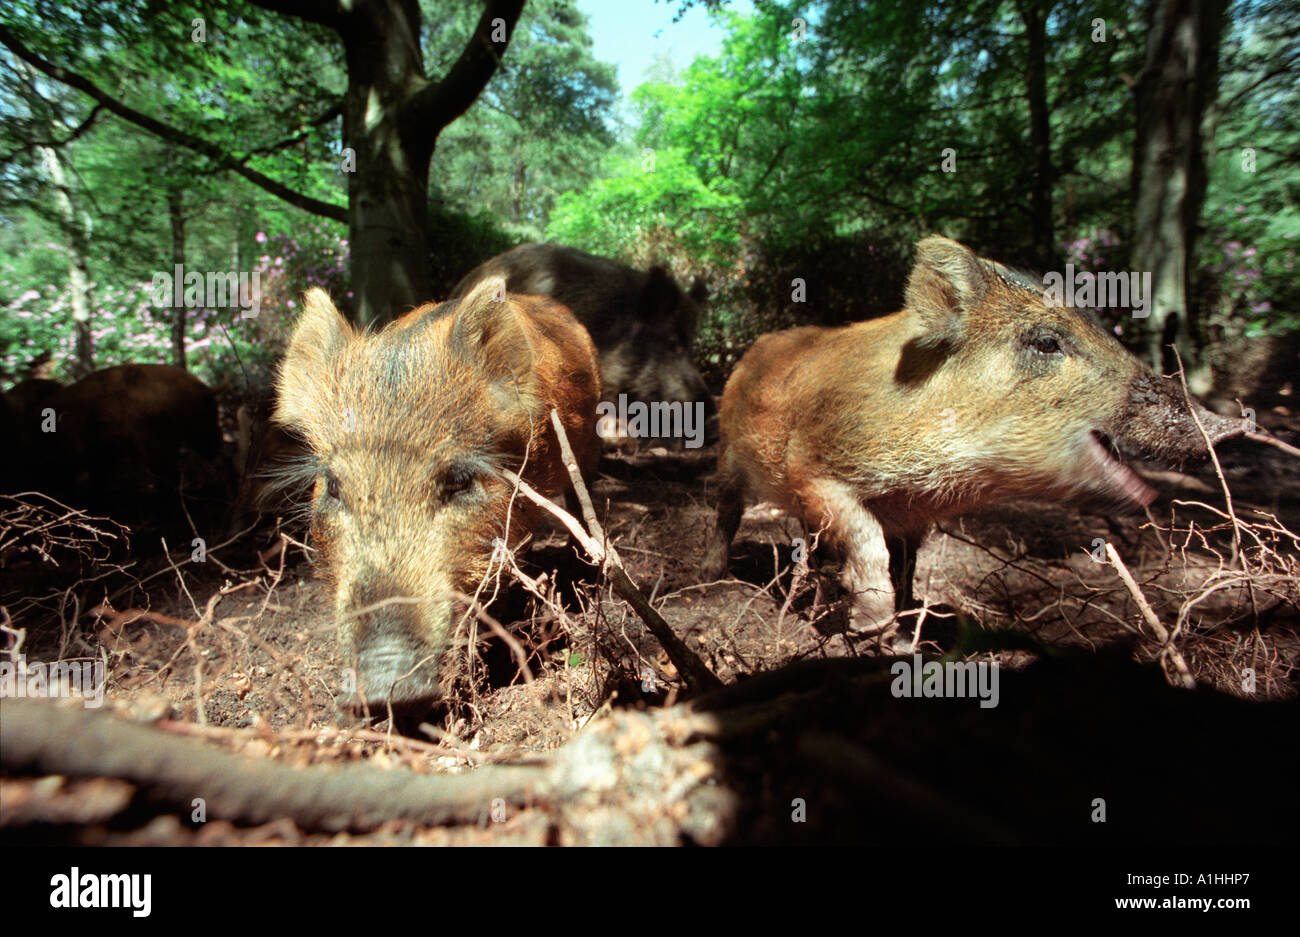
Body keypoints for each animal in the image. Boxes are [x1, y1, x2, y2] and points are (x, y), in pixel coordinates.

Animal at [703, 236, 1251, 631]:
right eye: (1047, 342)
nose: (1234, 424)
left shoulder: (913, 516)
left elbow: (906, 562)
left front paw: (907, 624)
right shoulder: (814, 468)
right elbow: (868, 541)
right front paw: (870, 629)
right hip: (728, 453)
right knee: (726, 510)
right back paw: (711, 577)